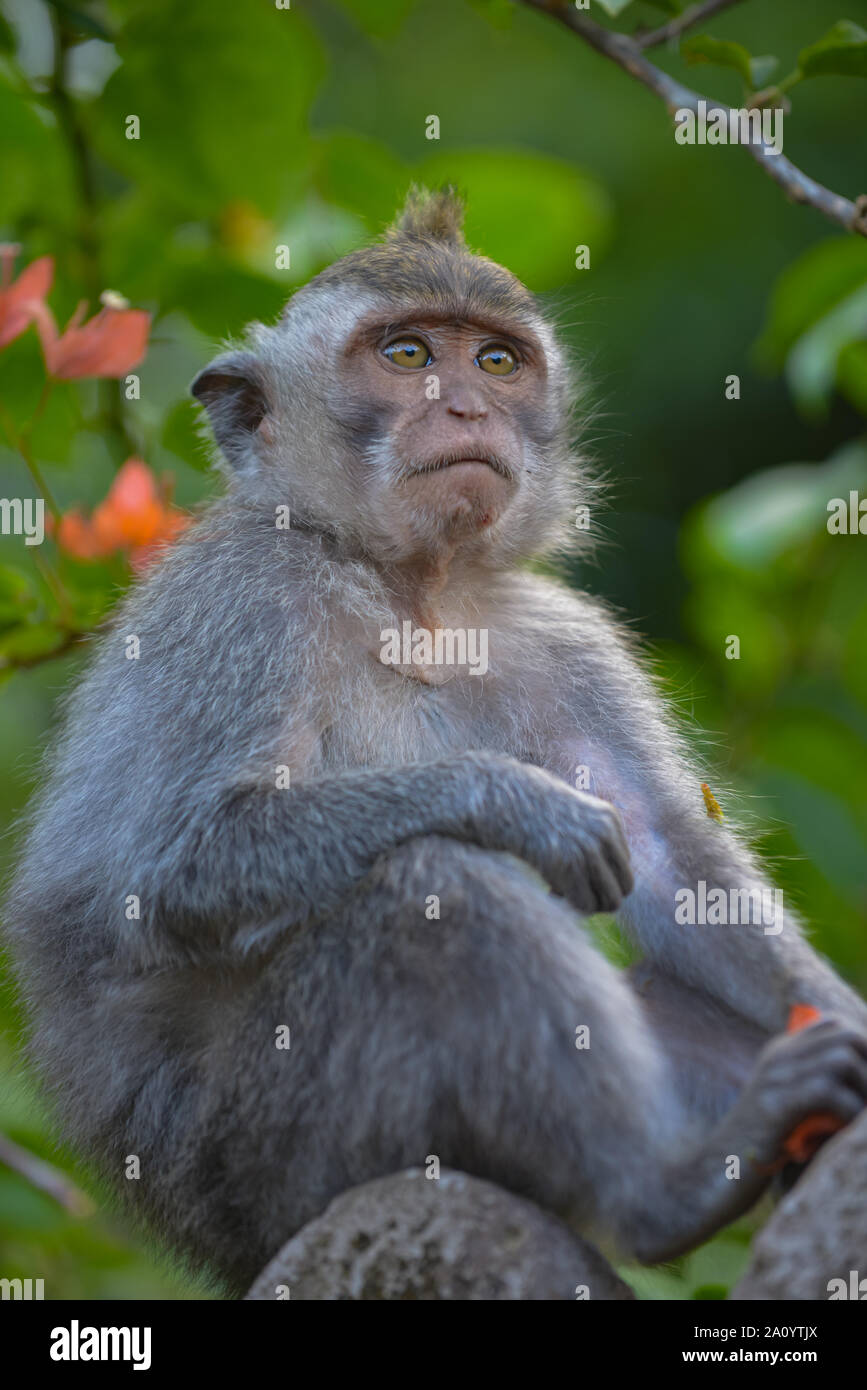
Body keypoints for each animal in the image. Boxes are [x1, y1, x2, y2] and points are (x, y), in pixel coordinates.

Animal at [5, 187, 867, 1298]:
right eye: (407, 353)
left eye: (495, 361)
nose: (466, 410)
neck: (410, 591)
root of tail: (227, 1246)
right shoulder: (248, 602)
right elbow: (175, 864)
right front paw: (519, 804)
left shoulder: (562, 640)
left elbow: (673, 861)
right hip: (280, 1148)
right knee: (435, 887)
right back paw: (667, 1187)